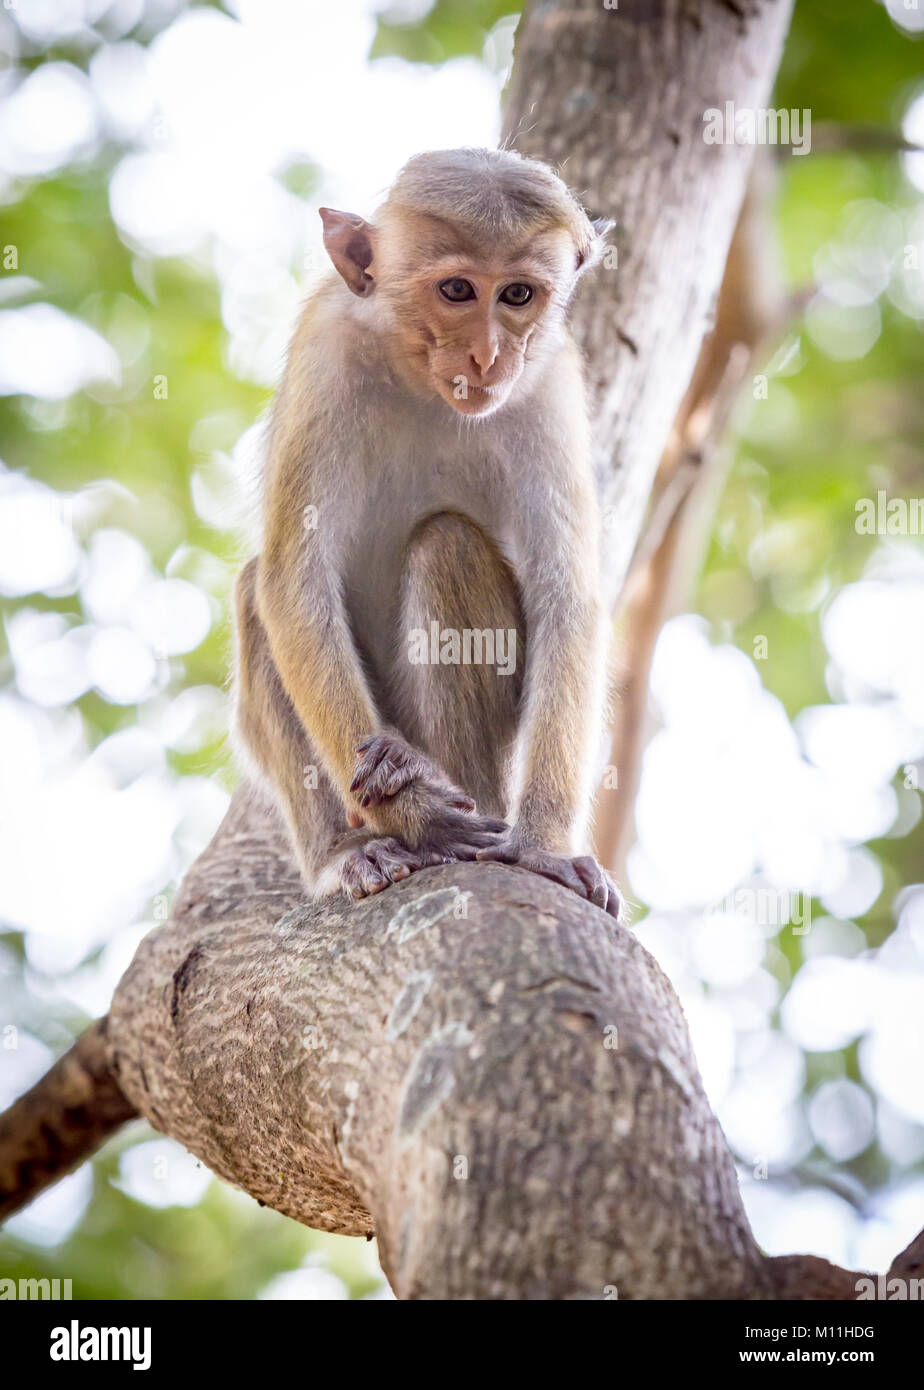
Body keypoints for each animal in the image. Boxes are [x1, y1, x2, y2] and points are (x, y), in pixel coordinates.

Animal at [233, 147, 620, 917]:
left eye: (518, 295)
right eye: (457, 290)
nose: (489, 358)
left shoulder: (548, 386)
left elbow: (568, 599)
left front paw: (542, 844)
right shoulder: (327, 348)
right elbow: (292, 578)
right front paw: (407, 808)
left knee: (448, 544)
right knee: (257, 592)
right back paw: (353, 848)